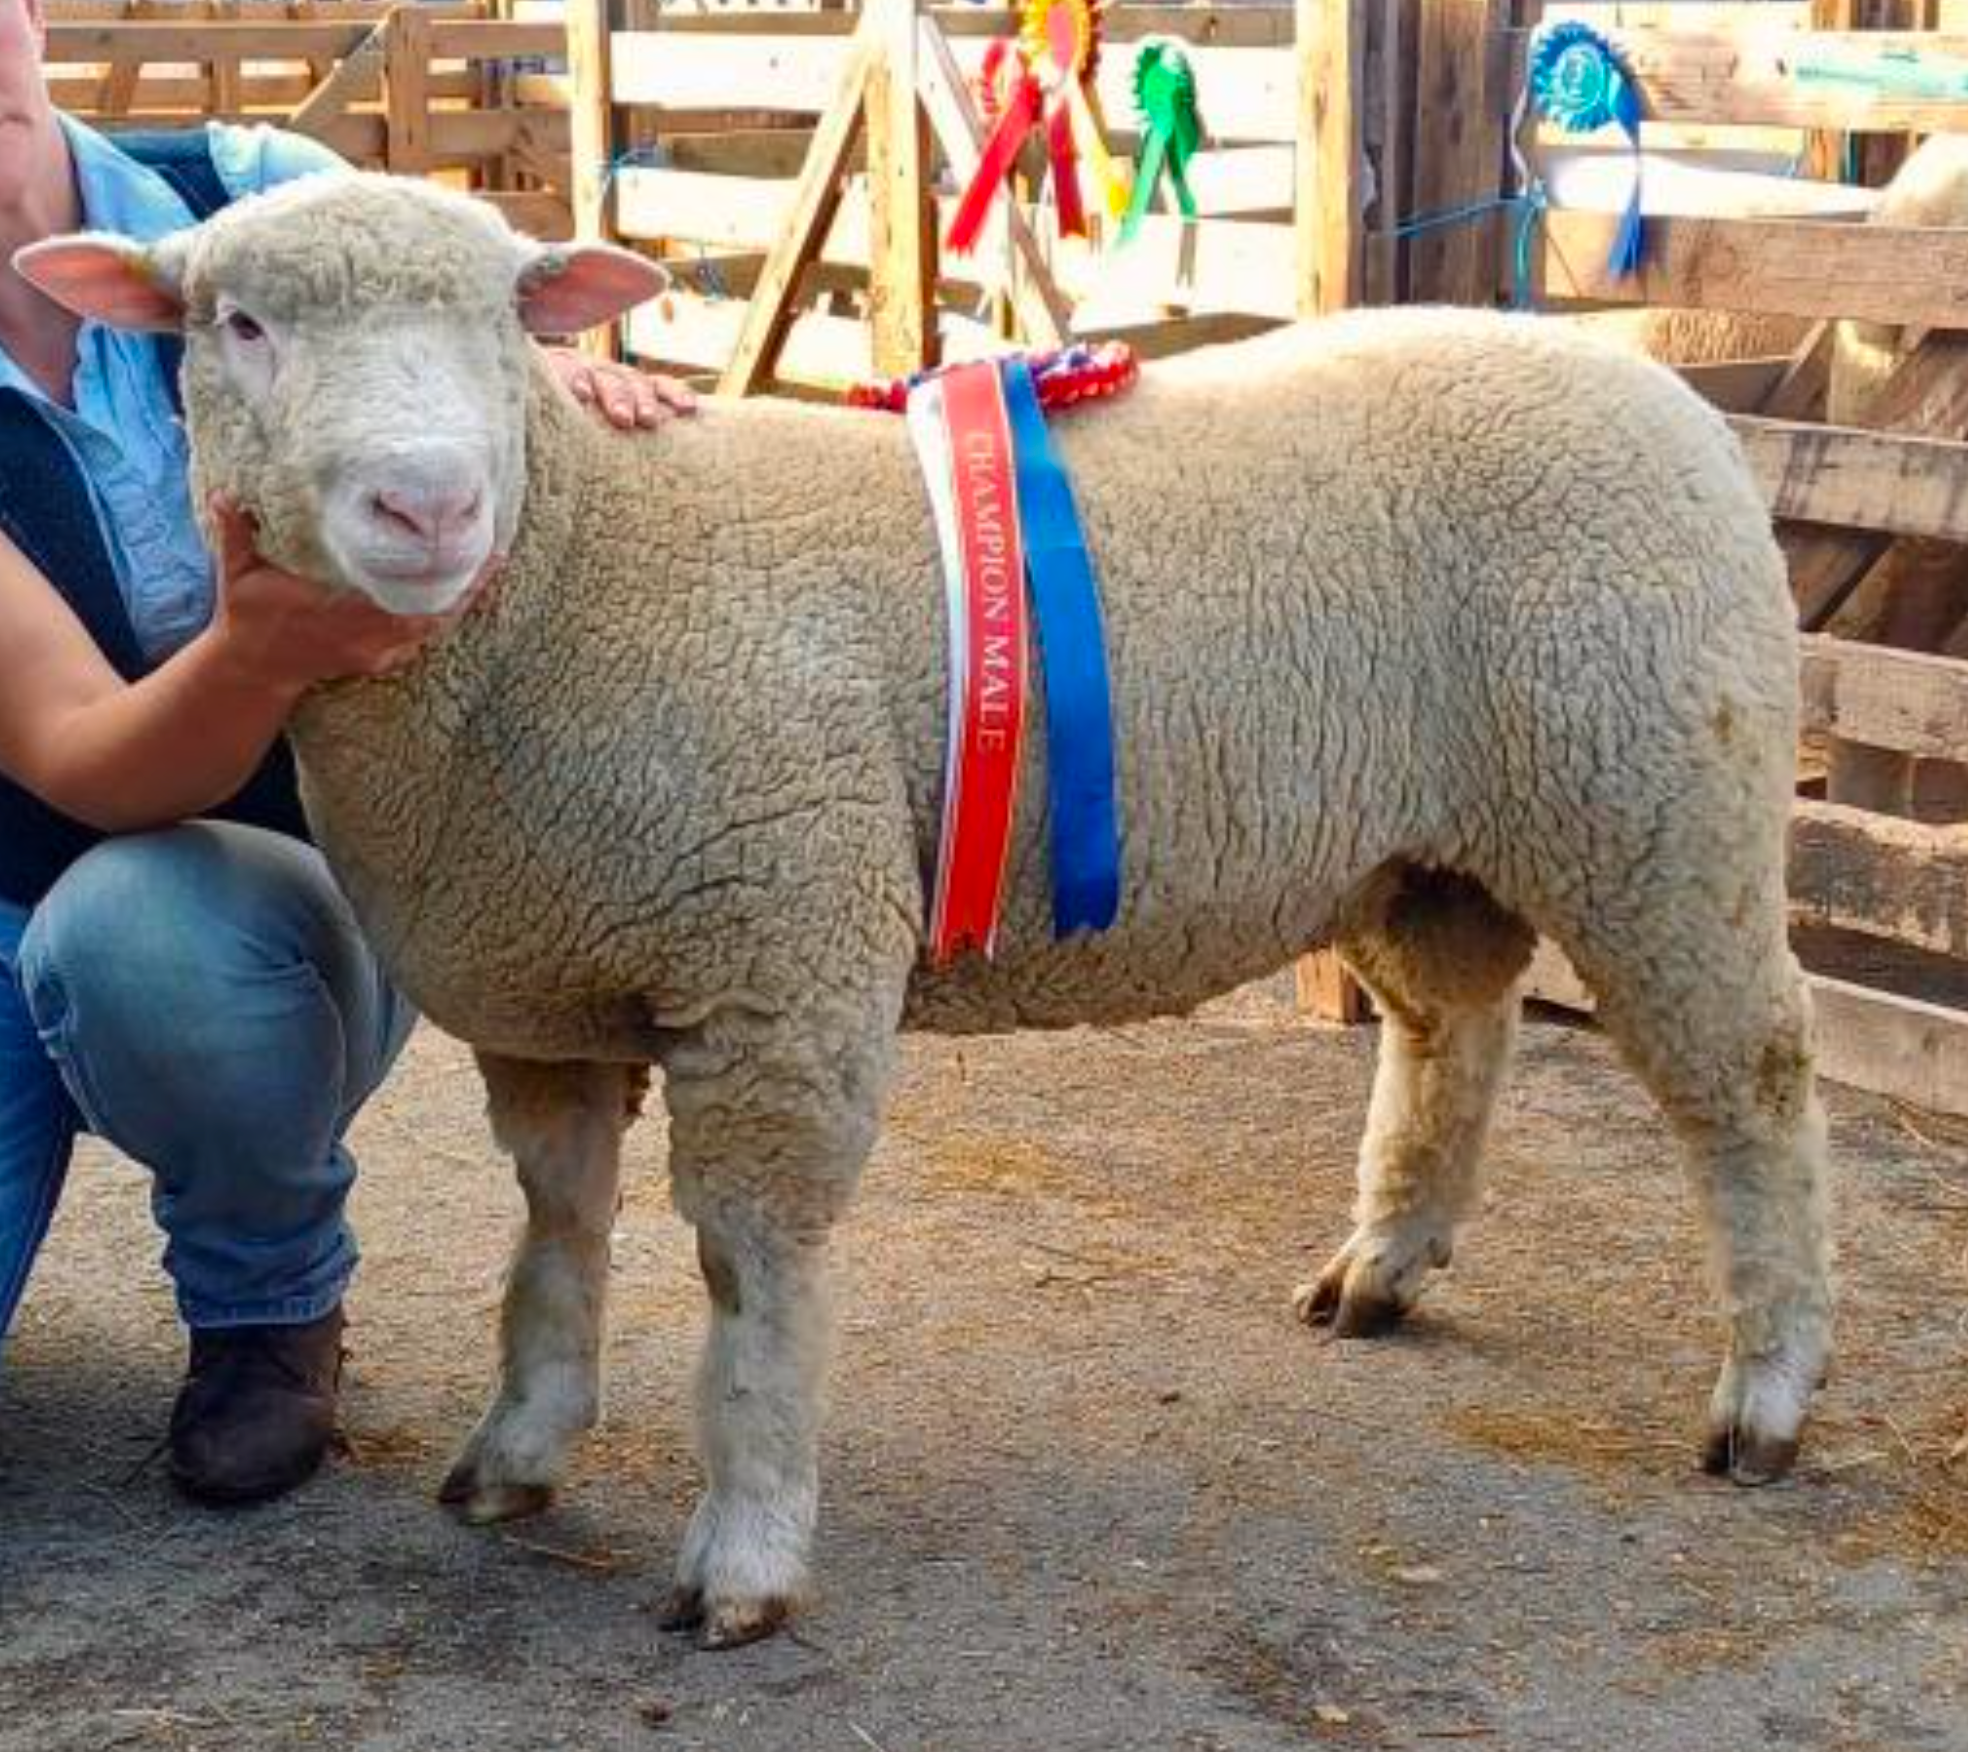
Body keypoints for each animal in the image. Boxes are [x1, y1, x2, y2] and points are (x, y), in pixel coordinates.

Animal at [22, 172, 1831, 1648]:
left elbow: (751, 1269)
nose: (427, 508)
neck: (575, 565)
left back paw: (1765, 1398)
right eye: (239, 324)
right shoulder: (545, 978)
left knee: (1753, 1083)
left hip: (1656, 802)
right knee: (1450, 1027)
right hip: (1421, 844)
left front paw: (746, 1554)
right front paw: (520, 1445)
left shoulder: (777, 949)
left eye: (501, 325)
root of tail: (1649, 382)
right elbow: (555, 1233)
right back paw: (1380, 1269)